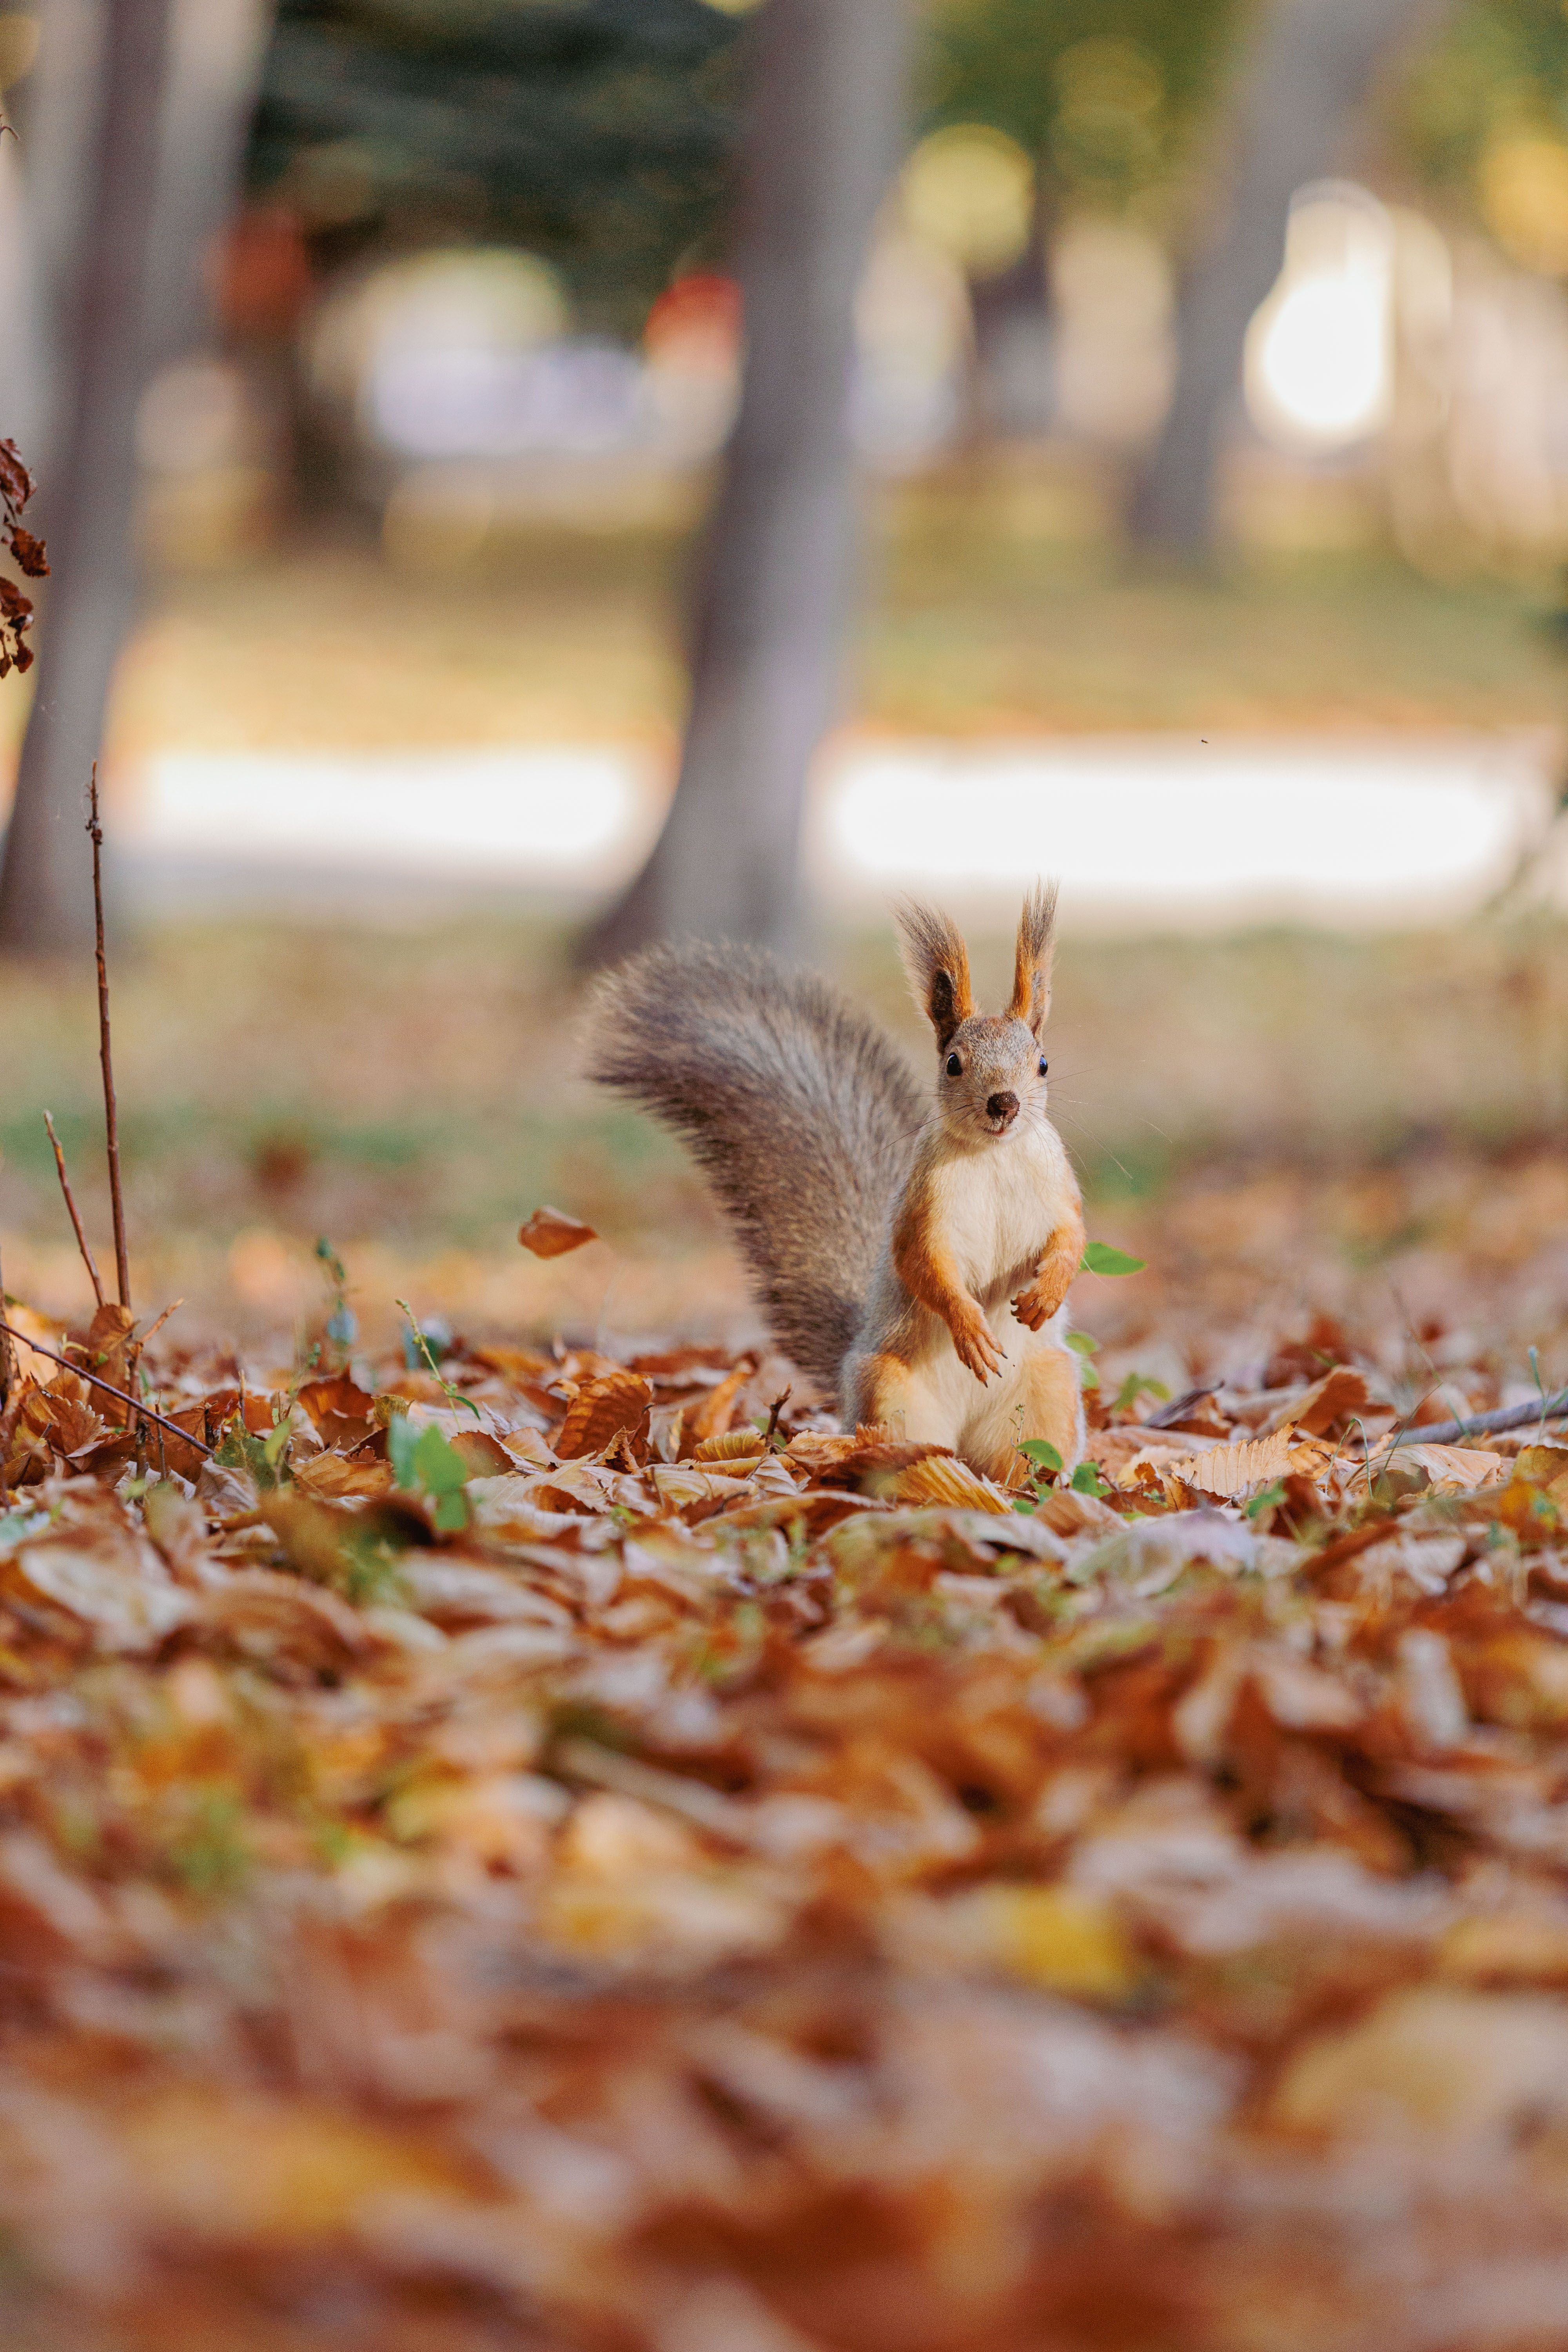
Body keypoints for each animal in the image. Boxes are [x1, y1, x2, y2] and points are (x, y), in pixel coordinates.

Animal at [587, 884, 1085, 1484]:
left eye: (1043, 1063)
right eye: (953, 1063)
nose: (1004, 1104)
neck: (995, 1155)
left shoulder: (1058, 1184)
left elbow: (1072, 1235)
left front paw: (1049, 1291)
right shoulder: (922, 1203)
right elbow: (921, 1260)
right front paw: (968, 1325)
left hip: (1047, 1392)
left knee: (1024, 1458)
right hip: (889, 1390)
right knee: (900, 1450)